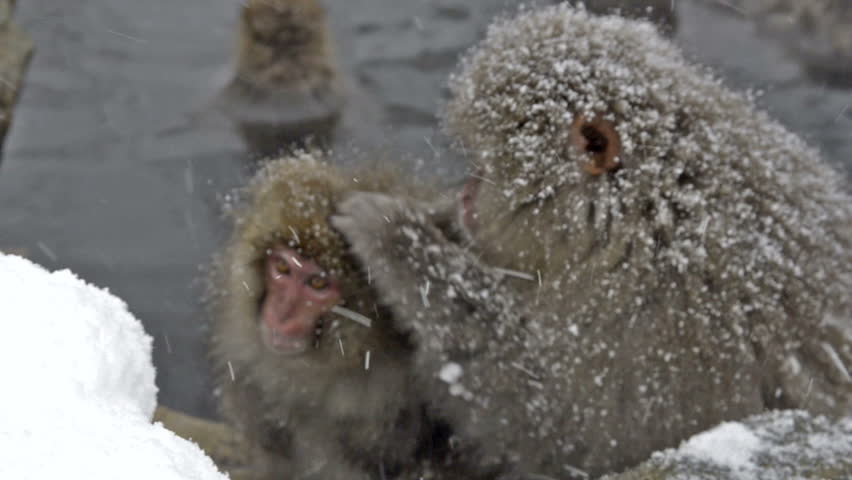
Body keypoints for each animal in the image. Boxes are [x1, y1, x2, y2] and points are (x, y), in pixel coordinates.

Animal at [330, 4, 852, 478]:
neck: (642, 217)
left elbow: (551, 422)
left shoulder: (652, 322)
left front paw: (392, 234)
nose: (465, 195)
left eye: (487, 165)